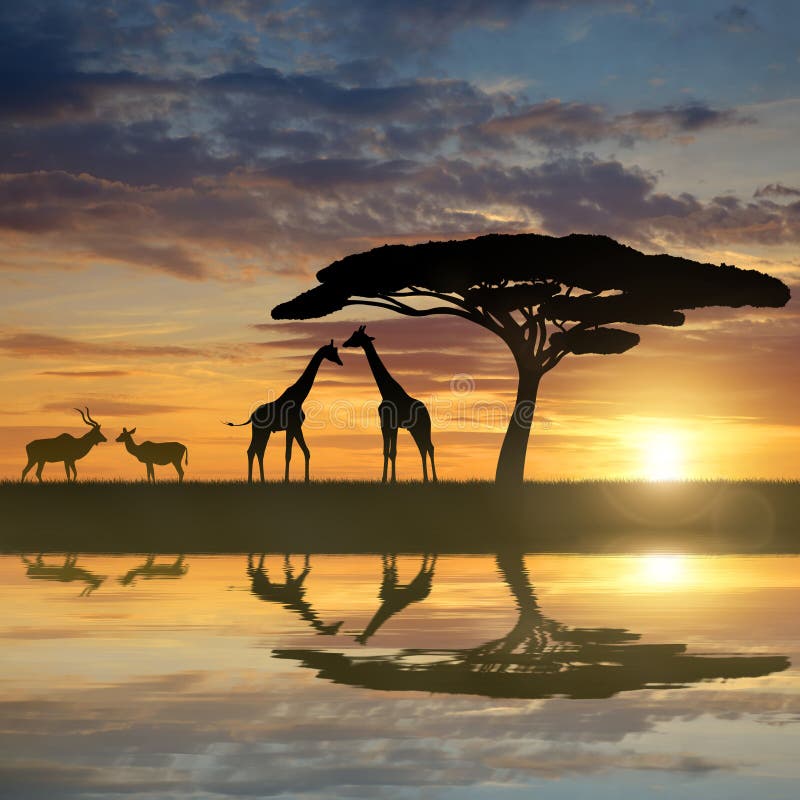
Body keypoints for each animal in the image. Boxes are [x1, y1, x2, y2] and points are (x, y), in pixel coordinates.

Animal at [224, 341, 342, 482]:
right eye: (333, 351)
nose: (340, 362)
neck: (300, 397)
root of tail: (252, 416)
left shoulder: (295, 427)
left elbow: (306, 452)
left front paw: (306, 480)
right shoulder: (292, 427)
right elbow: (288, 454)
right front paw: (287, 480)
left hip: (263, 431)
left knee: (255, 450)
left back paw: (259, 480)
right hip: (261, 430)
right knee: (256, 450)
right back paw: (254, 480)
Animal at [342, 325, 437, 483]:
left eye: (356, 336)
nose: (345, 343)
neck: (385, 391)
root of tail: (427, 413)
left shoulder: (392, 424)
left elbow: (392, 452)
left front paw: (391, 480)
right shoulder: (385, 424)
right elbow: (386, 452)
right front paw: (385, 479)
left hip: (423, 427)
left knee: (429, 447)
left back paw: (434, 479)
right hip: (414, 429)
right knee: (423, 448)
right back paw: (425, 479)